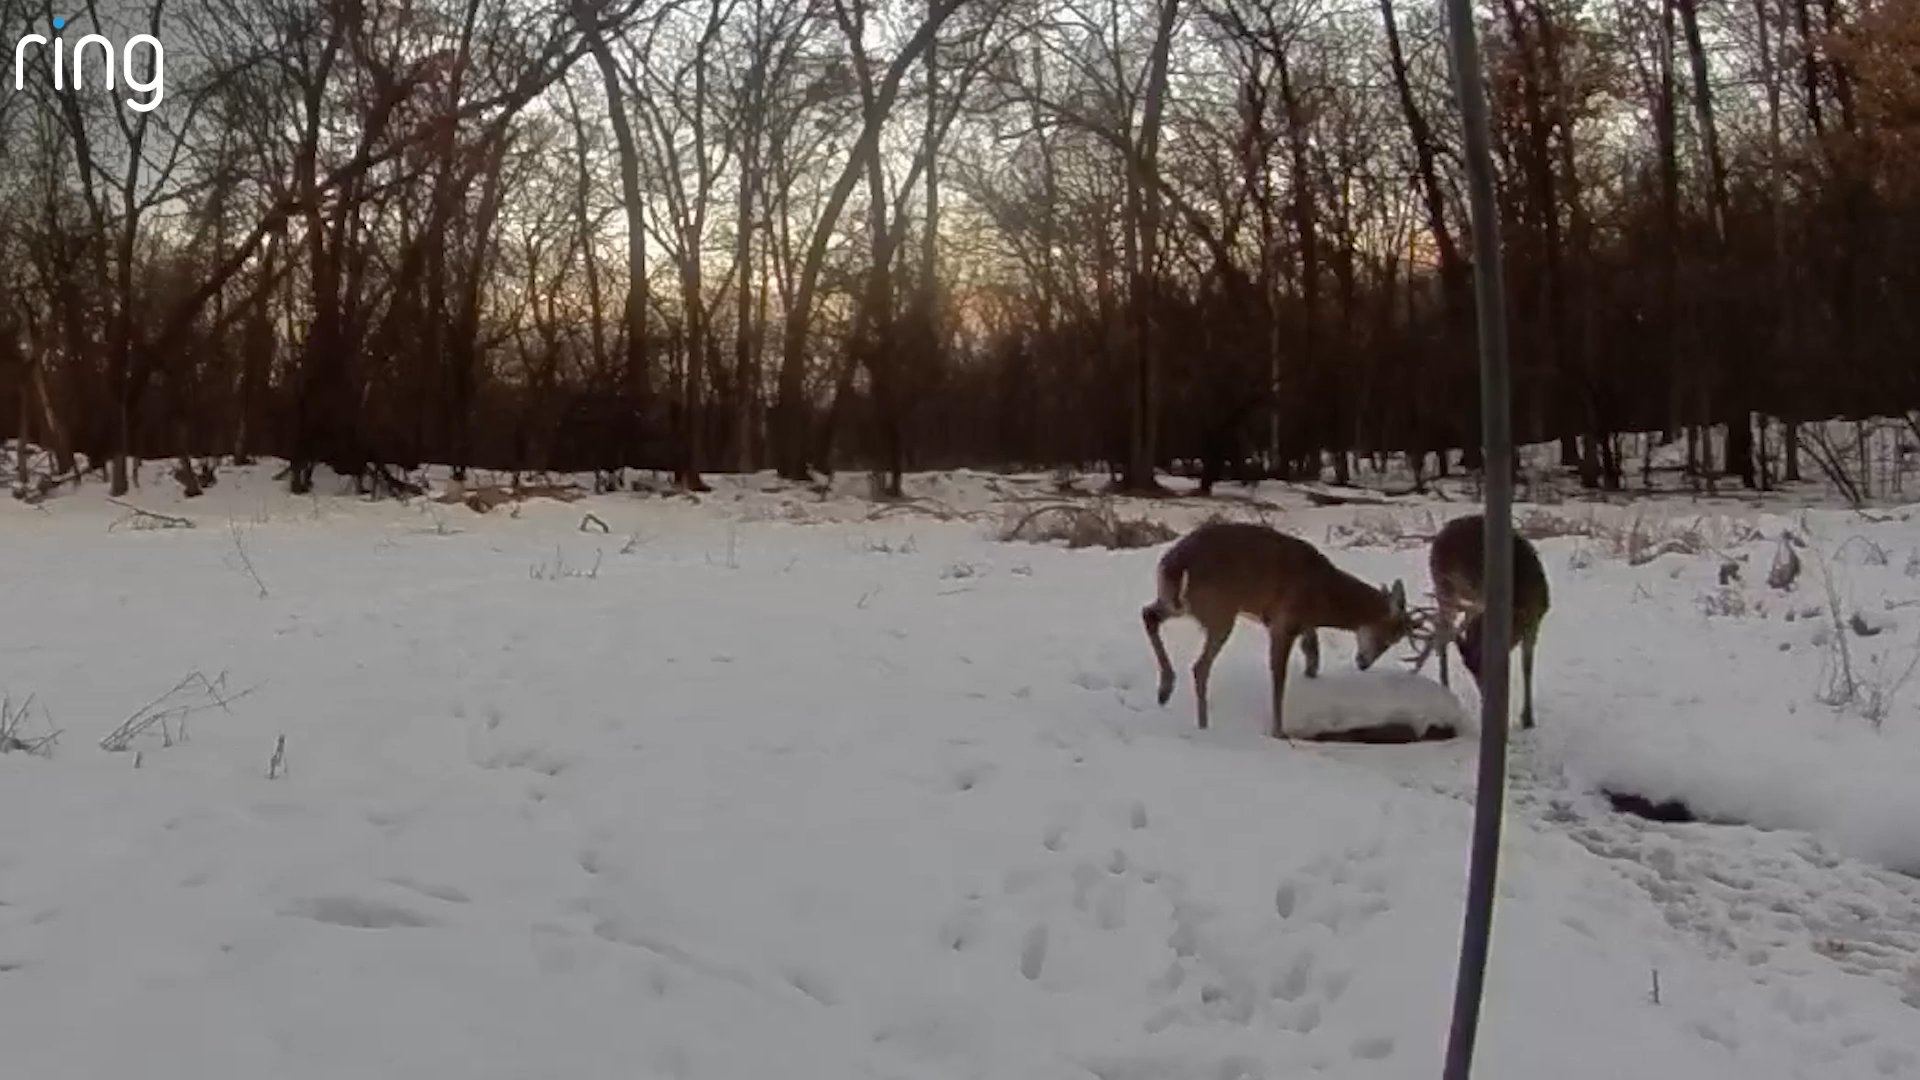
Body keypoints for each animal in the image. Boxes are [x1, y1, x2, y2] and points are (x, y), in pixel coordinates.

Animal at [1141, 521, 1424, 740]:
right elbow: (1279, 676)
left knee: (1148, 614)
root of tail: (1176, 564)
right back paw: (1202, 724)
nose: (1364, 663)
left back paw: (1165, 690)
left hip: (1175, 602)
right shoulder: (1284, 622)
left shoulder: (1295, 624)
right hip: (1220, 610)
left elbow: (1312, 655)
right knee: (1200, 666)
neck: (1325, 598)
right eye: (1389, 636)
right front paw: (1279, 731)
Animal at [1406, 513, 1551, 729]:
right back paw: (1444, 687)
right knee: (1441, 631)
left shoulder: (1536, 619)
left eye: (1485, 669)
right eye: (1471, 670)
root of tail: (1444, 530)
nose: (1485, 701)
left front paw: (1528, 719)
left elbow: (1527, 667)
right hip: (1443, 585)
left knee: (1443, 630)